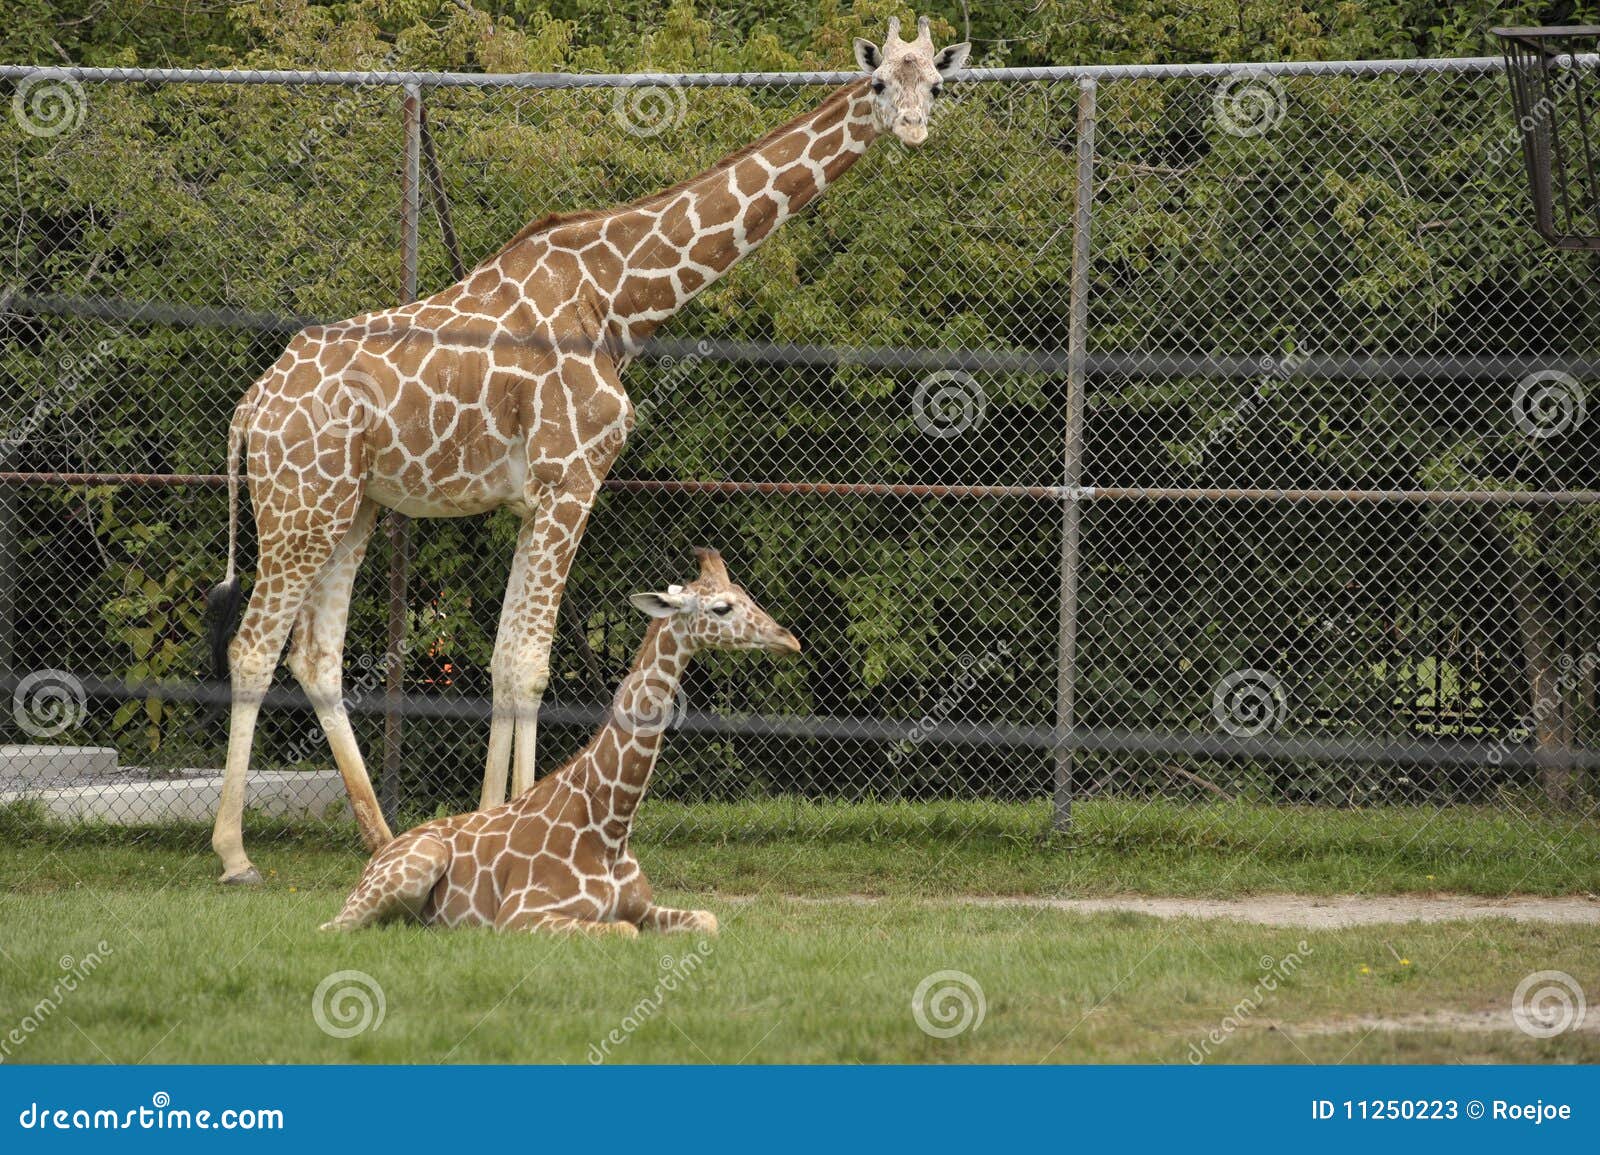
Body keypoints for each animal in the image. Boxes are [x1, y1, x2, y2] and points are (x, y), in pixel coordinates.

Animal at [208, 16, 970, 883]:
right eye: (880, 82)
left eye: (933, 84)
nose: (912, 129)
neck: (620, 297)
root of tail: (250, 406)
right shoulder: (575, 479)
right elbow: (532, 663)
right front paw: (529, 827)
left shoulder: (532, 496)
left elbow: (506, 659)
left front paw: (492, 818)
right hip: (299, 506)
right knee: (254, 647)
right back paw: (234, 853)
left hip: (353, 507)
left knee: (317, 656)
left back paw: (379, 835)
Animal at [320, 548, 798, 935]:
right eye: (722, 608)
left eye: (746, 595)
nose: (789, 640)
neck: (611, 825)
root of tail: (376, 857)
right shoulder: (521, 915)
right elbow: (624, 932)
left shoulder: (645, 908)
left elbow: (707, 919)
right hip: (411, 870)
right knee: (331, 928)